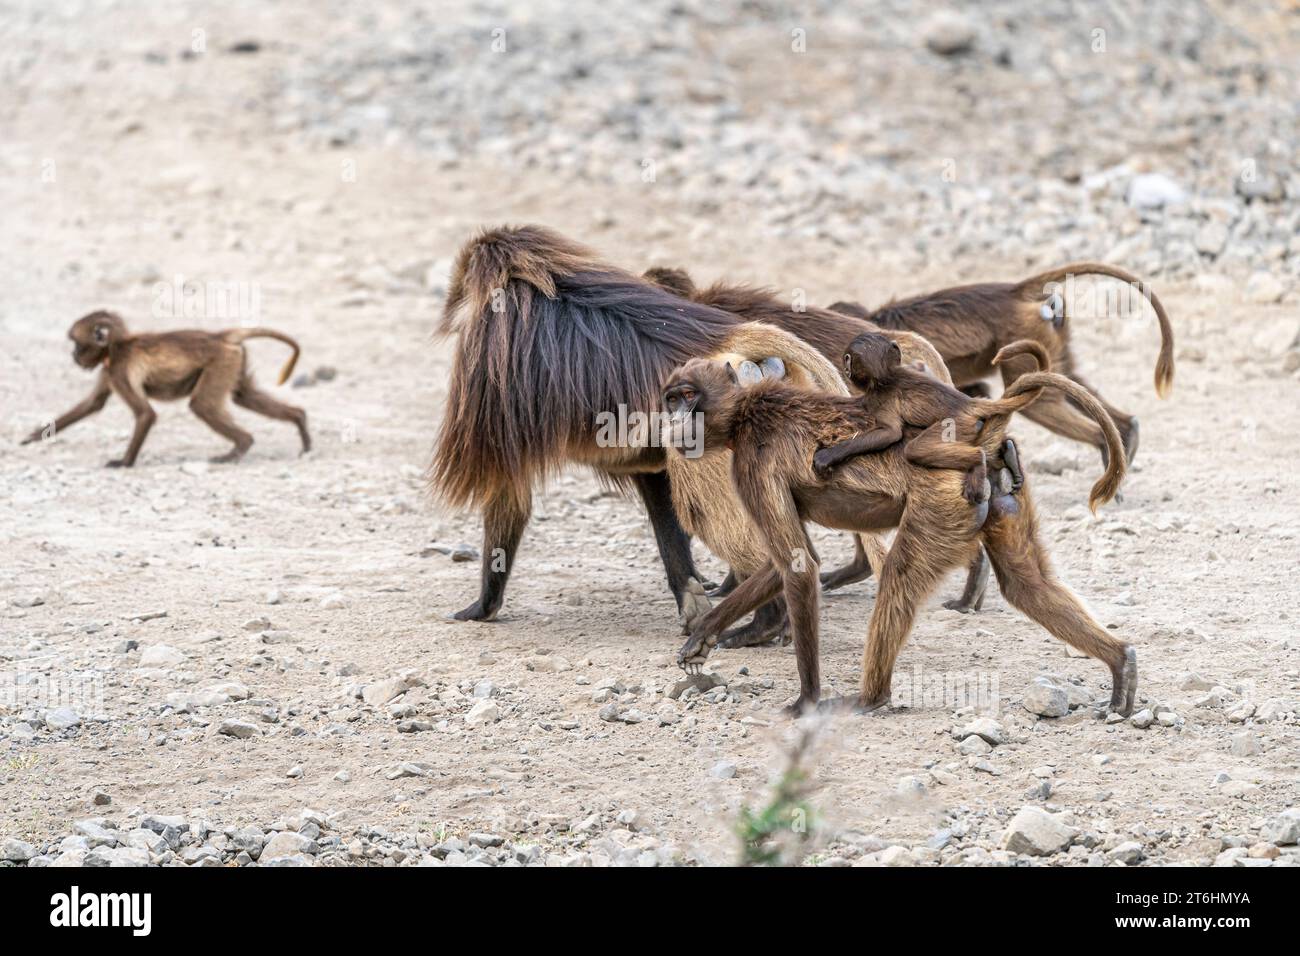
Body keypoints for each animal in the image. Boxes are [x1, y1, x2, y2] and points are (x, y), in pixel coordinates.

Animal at [21, 310, 310, 467]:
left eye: (76, 344)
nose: (73, 356)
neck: (117, 346)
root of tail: (220, 336)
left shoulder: (118, 370)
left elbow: (145, 414)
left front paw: (124, 463)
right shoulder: (108, 370)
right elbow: (92, 404)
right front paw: (36, 436)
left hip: (220, 361)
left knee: (202, 405)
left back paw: (239, 447)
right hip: (232, 360)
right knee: (244, 397)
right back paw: (300, 424)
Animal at [660, 357, 1137, 717]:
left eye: (688, 396)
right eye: (670, 399)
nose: (672, 422)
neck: (745, 412)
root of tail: (982, 434)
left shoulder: (753, 464)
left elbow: (798, 565)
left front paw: (806, 701)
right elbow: (783, 564)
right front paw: (703, 634)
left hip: (943, 500)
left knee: (898, 576)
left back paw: (871, 698)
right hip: (1000, 496)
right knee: (1026, 585)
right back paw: (1121, 662)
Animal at [825, 262, 1175, 464]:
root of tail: (1012, 292)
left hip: (1023, 333)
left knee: (1041, 403)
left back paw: (1105, 444)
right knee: (1071, 378)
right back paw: (1126, 435)